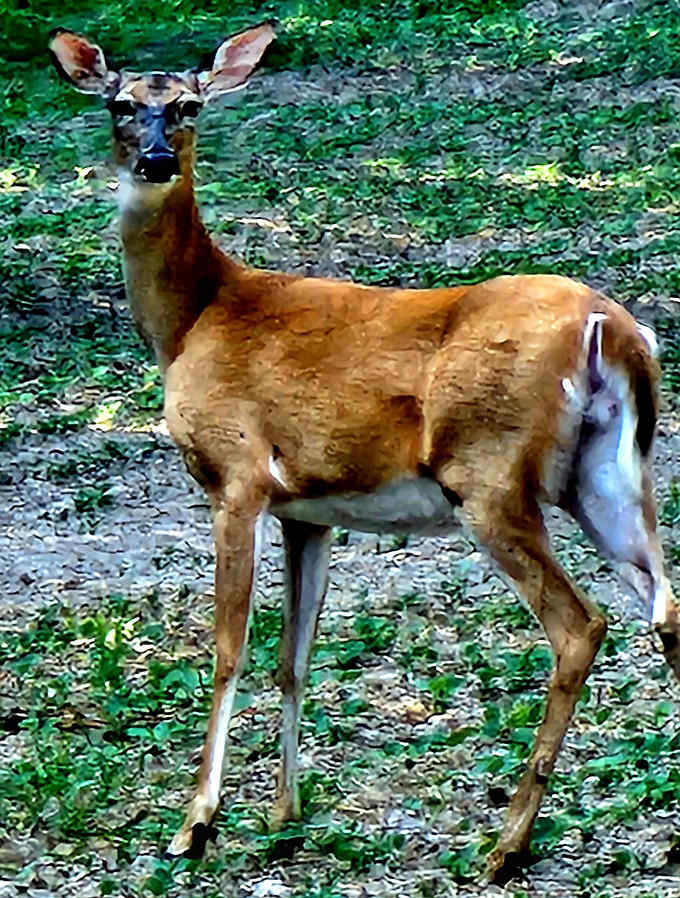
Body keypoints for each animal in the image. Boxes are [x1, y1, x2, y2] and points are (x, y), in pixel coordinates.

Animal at [48, 23, 680, 883]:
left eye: (186, 105)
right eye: (119, 103)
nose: (152, 159)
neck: (195, 317)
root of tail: (614, 328)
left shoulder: (236, 475)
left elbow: (228, 648)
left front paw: (195, 824)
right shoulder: (307, 509)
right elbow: (294, 655)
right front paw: (284, 815)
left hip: (489, 474)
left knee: (580, 626)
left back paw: (506, 845)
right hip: (611, 474)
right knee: (667, 607)